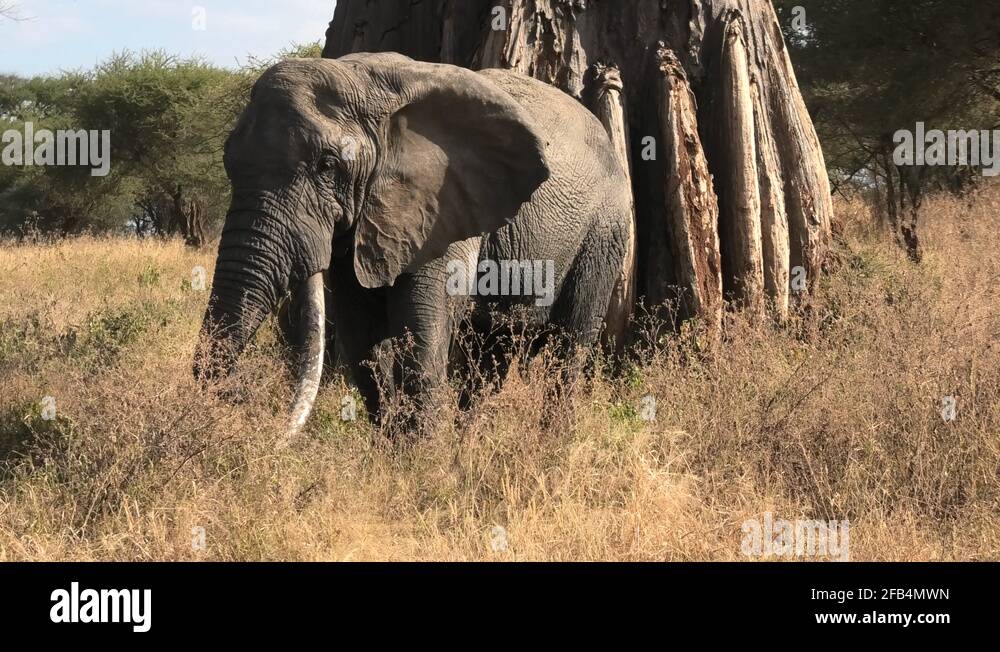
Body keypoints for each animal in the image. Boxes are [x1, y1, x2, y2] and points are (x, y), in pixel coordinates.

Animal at [195, 53, 635, 438]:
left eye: (327, 166)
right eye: (228, 162)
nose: (241, 394)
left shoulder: (442, 207)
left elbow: (422, 322)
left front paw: (424, 464)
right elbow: (362, 336)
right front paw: (397, 454)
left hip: (605, 230)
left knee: (570, 346)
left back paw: (549, 447)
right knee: (491, 357)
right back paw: (467, 448)